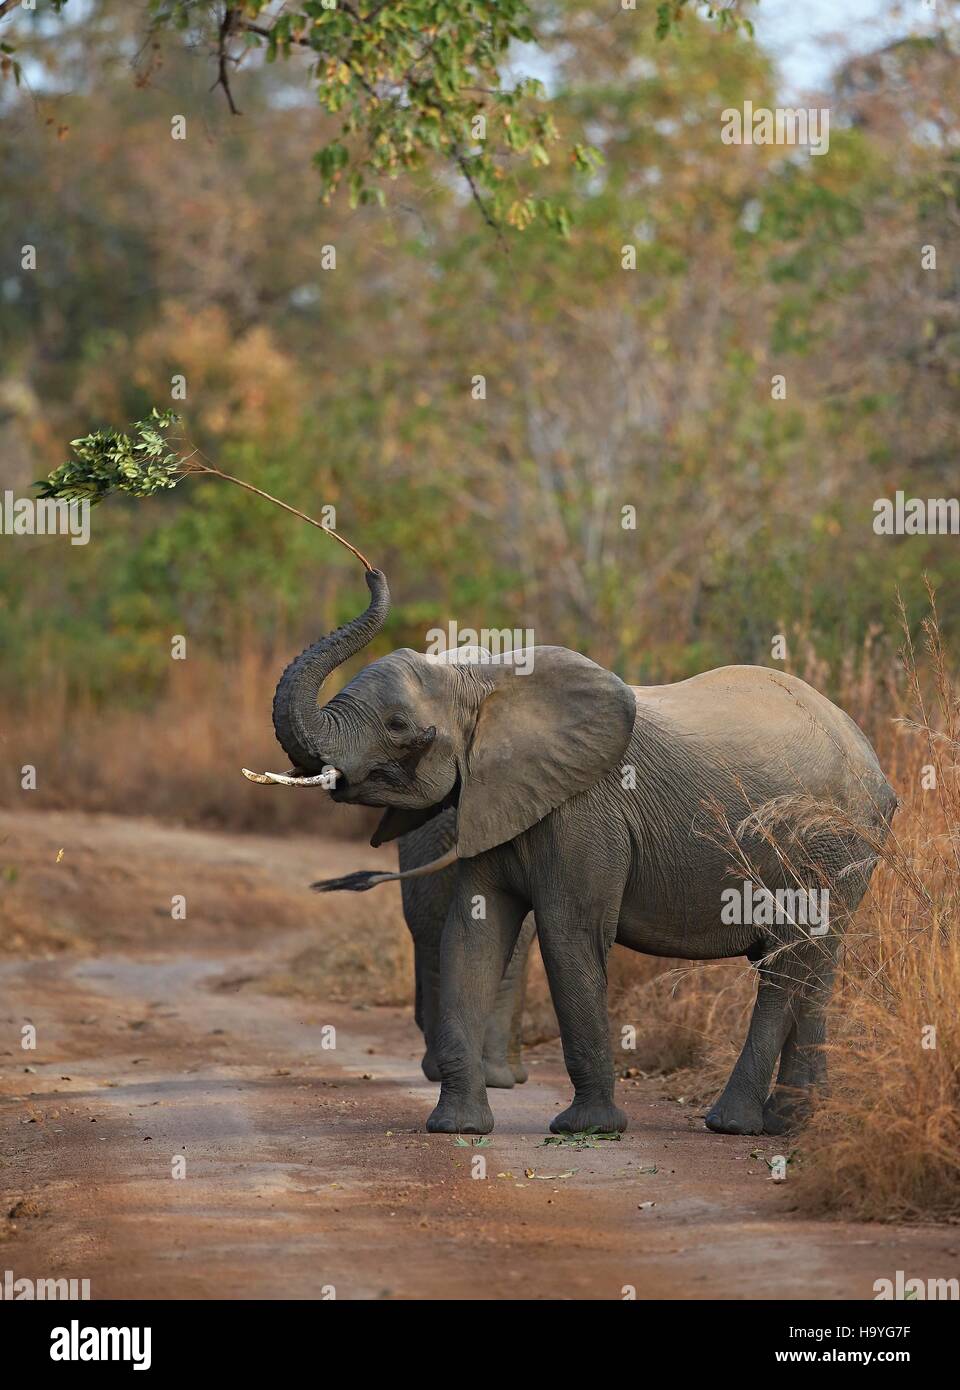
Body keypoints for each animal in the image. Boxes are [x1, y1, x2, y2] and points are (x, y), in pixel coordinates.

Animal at [246, 568, 896, 1137]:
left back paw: (731, 1124)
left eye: (400, 725)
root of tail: (872, 759)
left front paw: (588, 1129)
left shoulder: (585, 811)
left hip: (822, 848)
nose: (371, 571)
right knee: (817, 967)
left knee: (790, 962)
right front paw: (455, 1128)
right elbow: (473, 933)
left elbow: (568, 933)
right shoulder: (496, 800)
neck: (483, 679)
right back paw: (793, 1126)